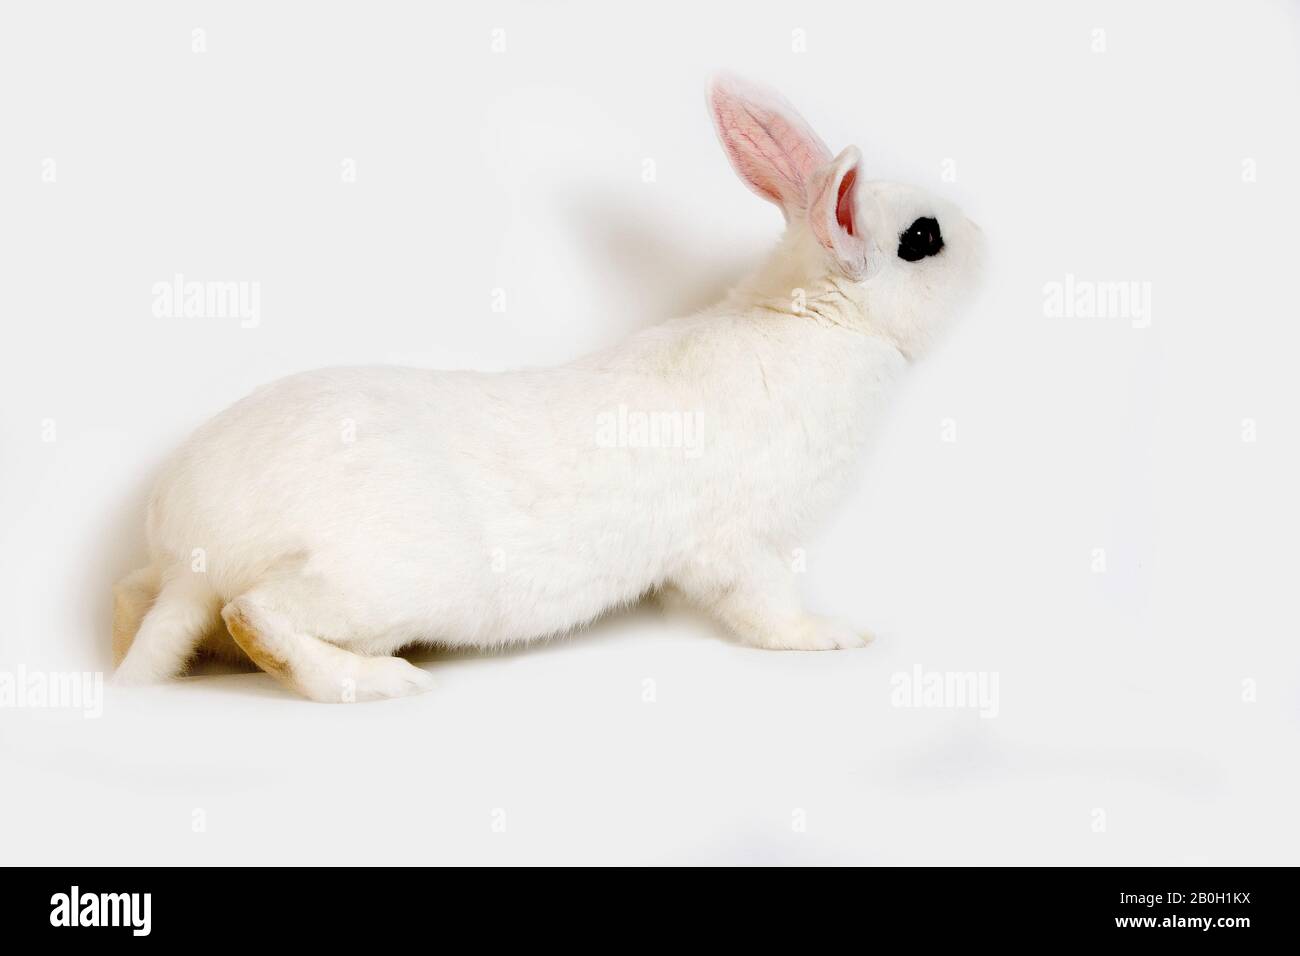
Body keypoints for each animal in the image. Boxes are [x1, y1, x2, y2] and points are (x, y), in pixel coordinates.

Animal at [112, 75, 985, 701]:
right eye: (923, 238)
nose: (985, 238)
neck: (819, 320)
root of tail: (196, 556)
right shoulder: (744, 546)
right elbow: (766, 609)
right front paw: (831, 636)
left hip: (186, 585)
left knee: (141, 602)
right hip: (374, 584)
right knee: (257, 618)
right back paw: (382, 681)